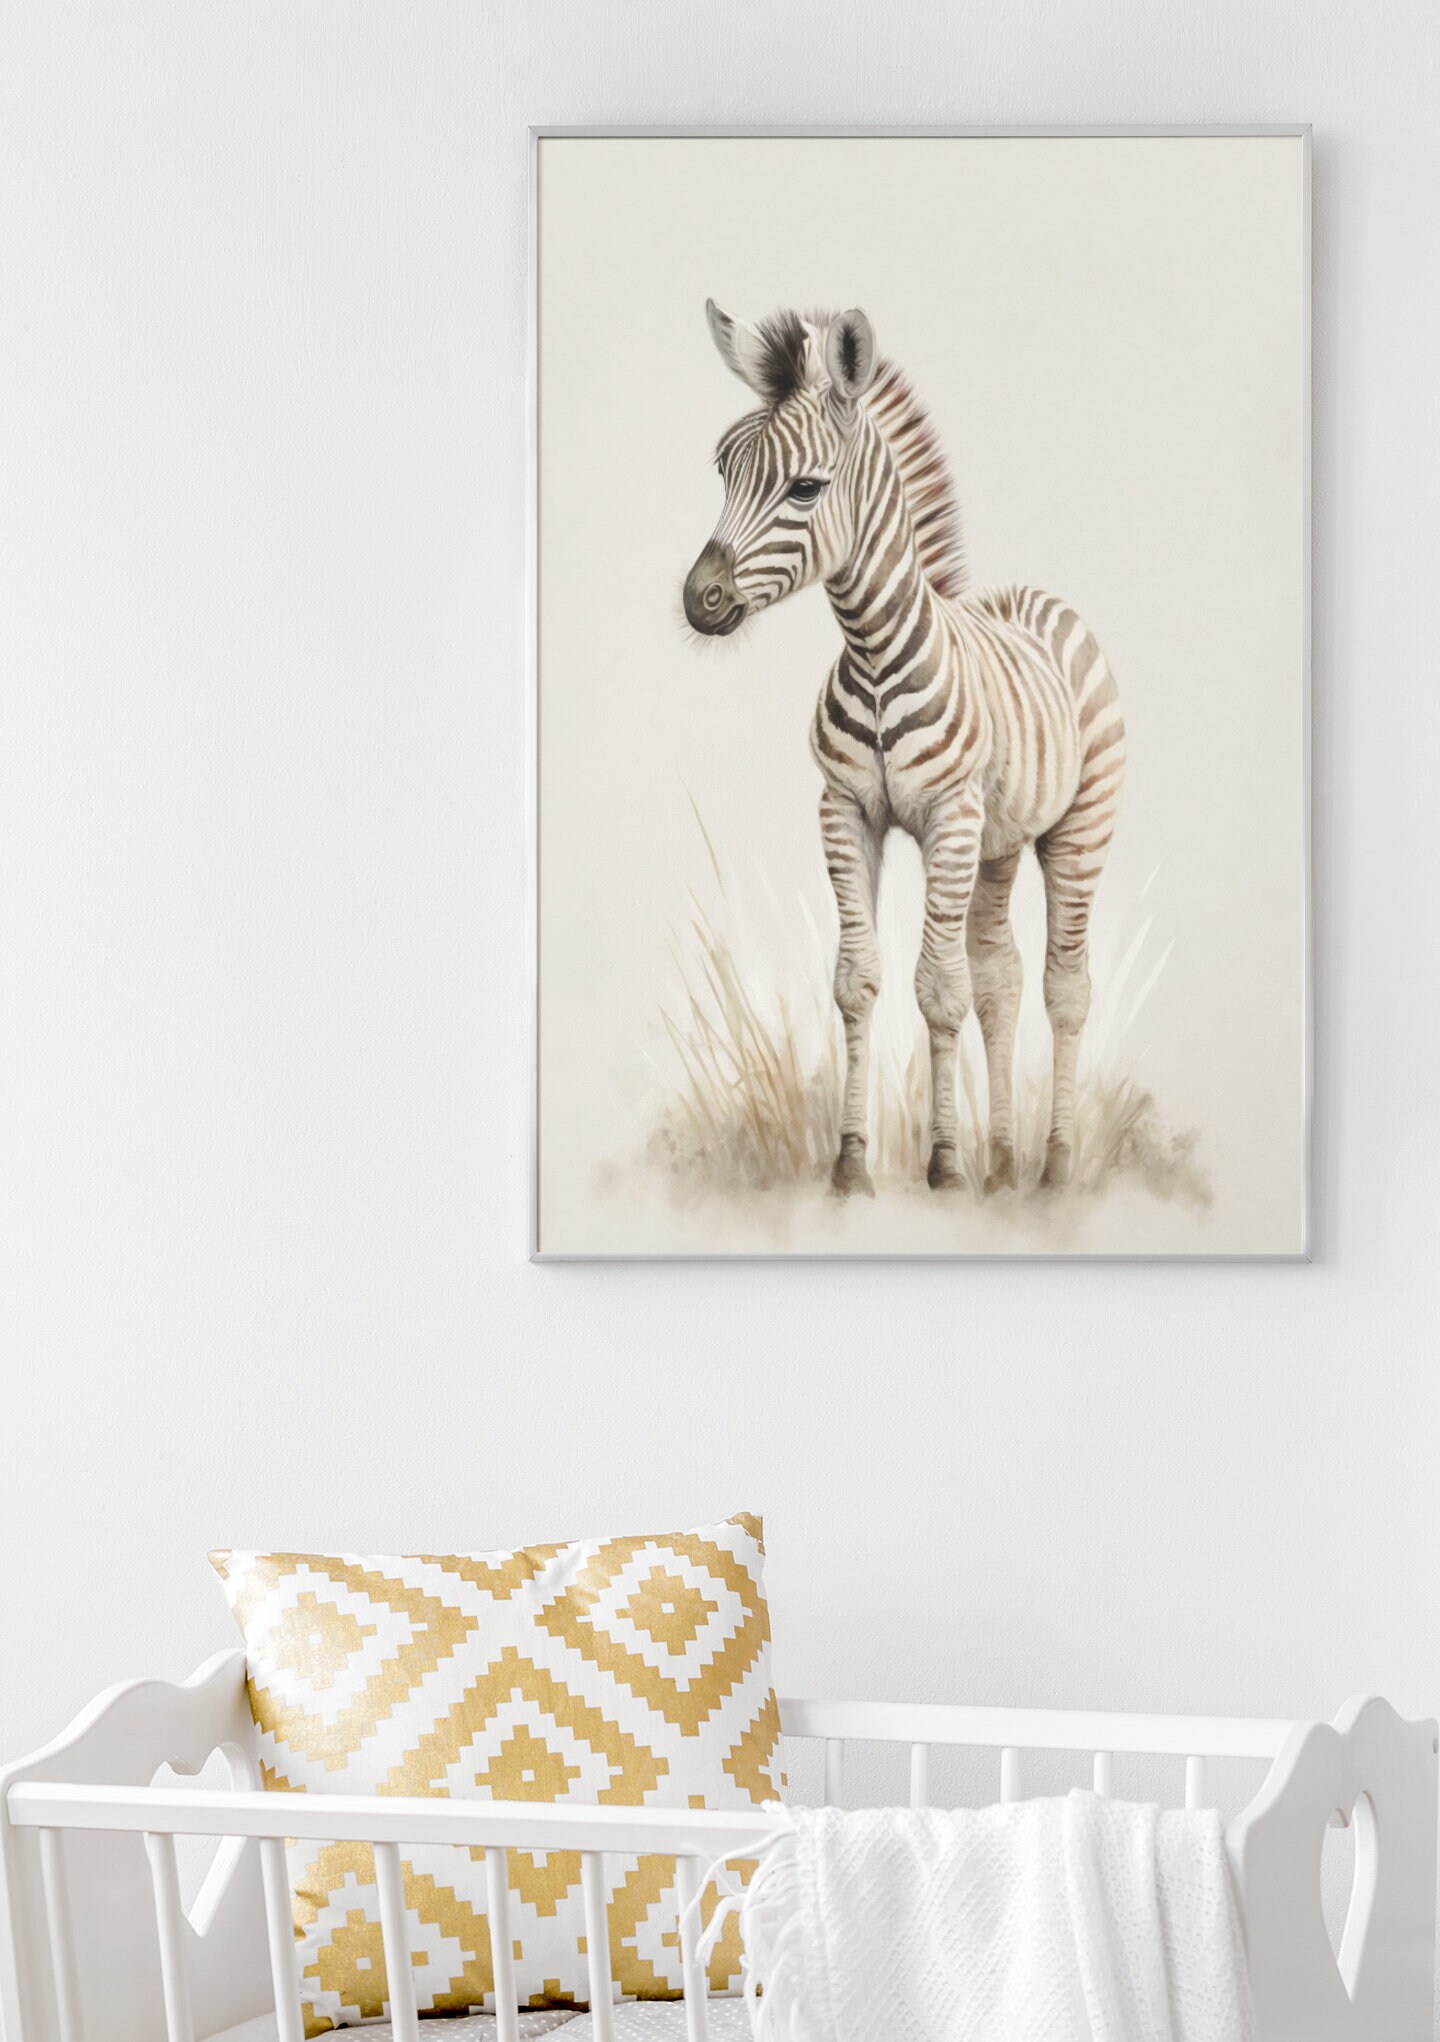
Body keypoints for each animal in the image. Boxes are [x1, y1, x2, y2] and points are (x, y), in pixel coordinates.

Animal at [682, 302, 1126, 1198]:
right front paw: (854, 1162)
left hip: (1077, 828)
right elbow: (862, 984)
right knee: (1001, 976)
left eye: (805, 487)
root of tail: (1034, 594)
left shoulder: (949, 819)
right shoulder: (845, 811)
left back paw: (1055, 1166)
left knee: (1064, 985)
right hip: (999, 841)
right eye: (723, 470)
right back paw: (1006, 1164)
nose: (696, 599)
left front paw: (944, 1164)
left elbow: (939, 989)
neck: (876, 650)